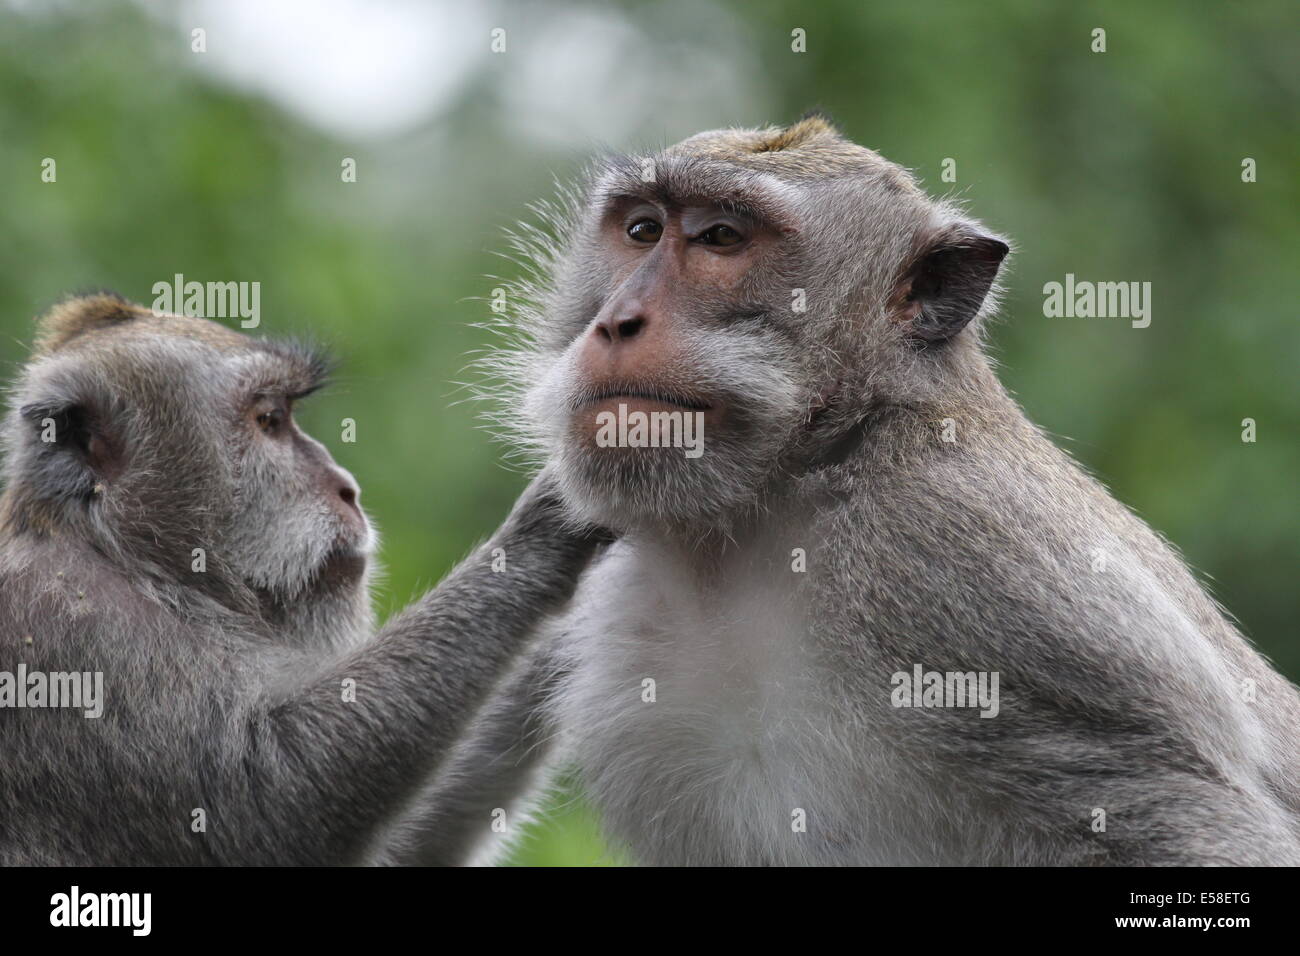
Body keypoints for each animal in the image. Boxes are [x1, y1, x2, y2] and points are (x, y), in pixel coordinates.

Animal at [0, 292, 605, 866]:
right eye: (269, 421)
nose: (346, 486)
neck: (131, 561)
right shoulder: (71, 628)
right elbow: (263, 810)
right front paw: (547, 527)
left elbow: (415, 849)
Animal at [436, 114, 1300, 866]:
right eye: (643, 230)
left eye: (721, 238)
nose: (617, 320)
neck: (789, 490)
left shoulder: (981, 567)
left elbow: (1197, 821)